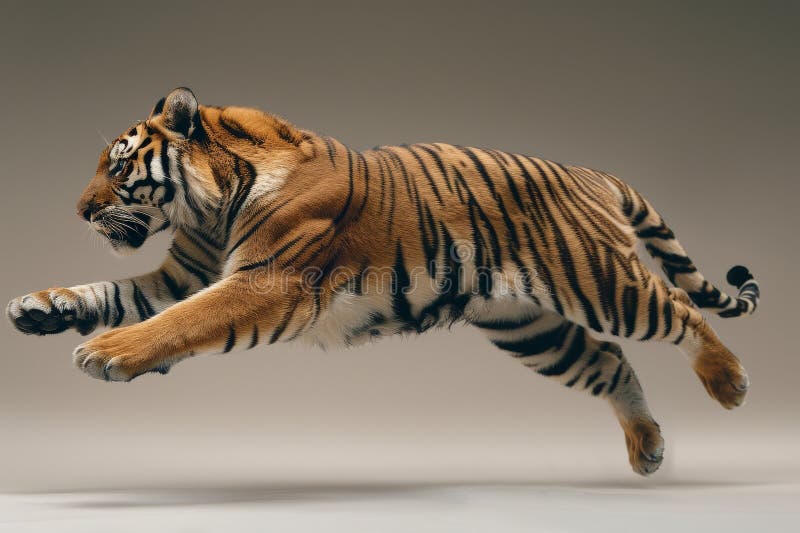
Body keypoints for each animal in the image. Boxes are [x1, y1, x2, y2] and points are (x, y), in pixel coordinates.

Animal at [6, 87, 760, 476]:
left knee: (681, 310)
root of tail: (590, 172)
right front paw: (37, 308)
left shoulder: (266, 281)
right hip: (530, 329)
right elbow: (115, 296)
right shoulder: (183, 272)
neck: (210, 207)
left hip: (598, 281)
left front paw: (106, 352)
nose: (80, 210)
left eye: (118, 166)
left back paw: (728, 383)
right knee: (610, 361)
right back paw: (648, 446)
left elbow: (176, 321)